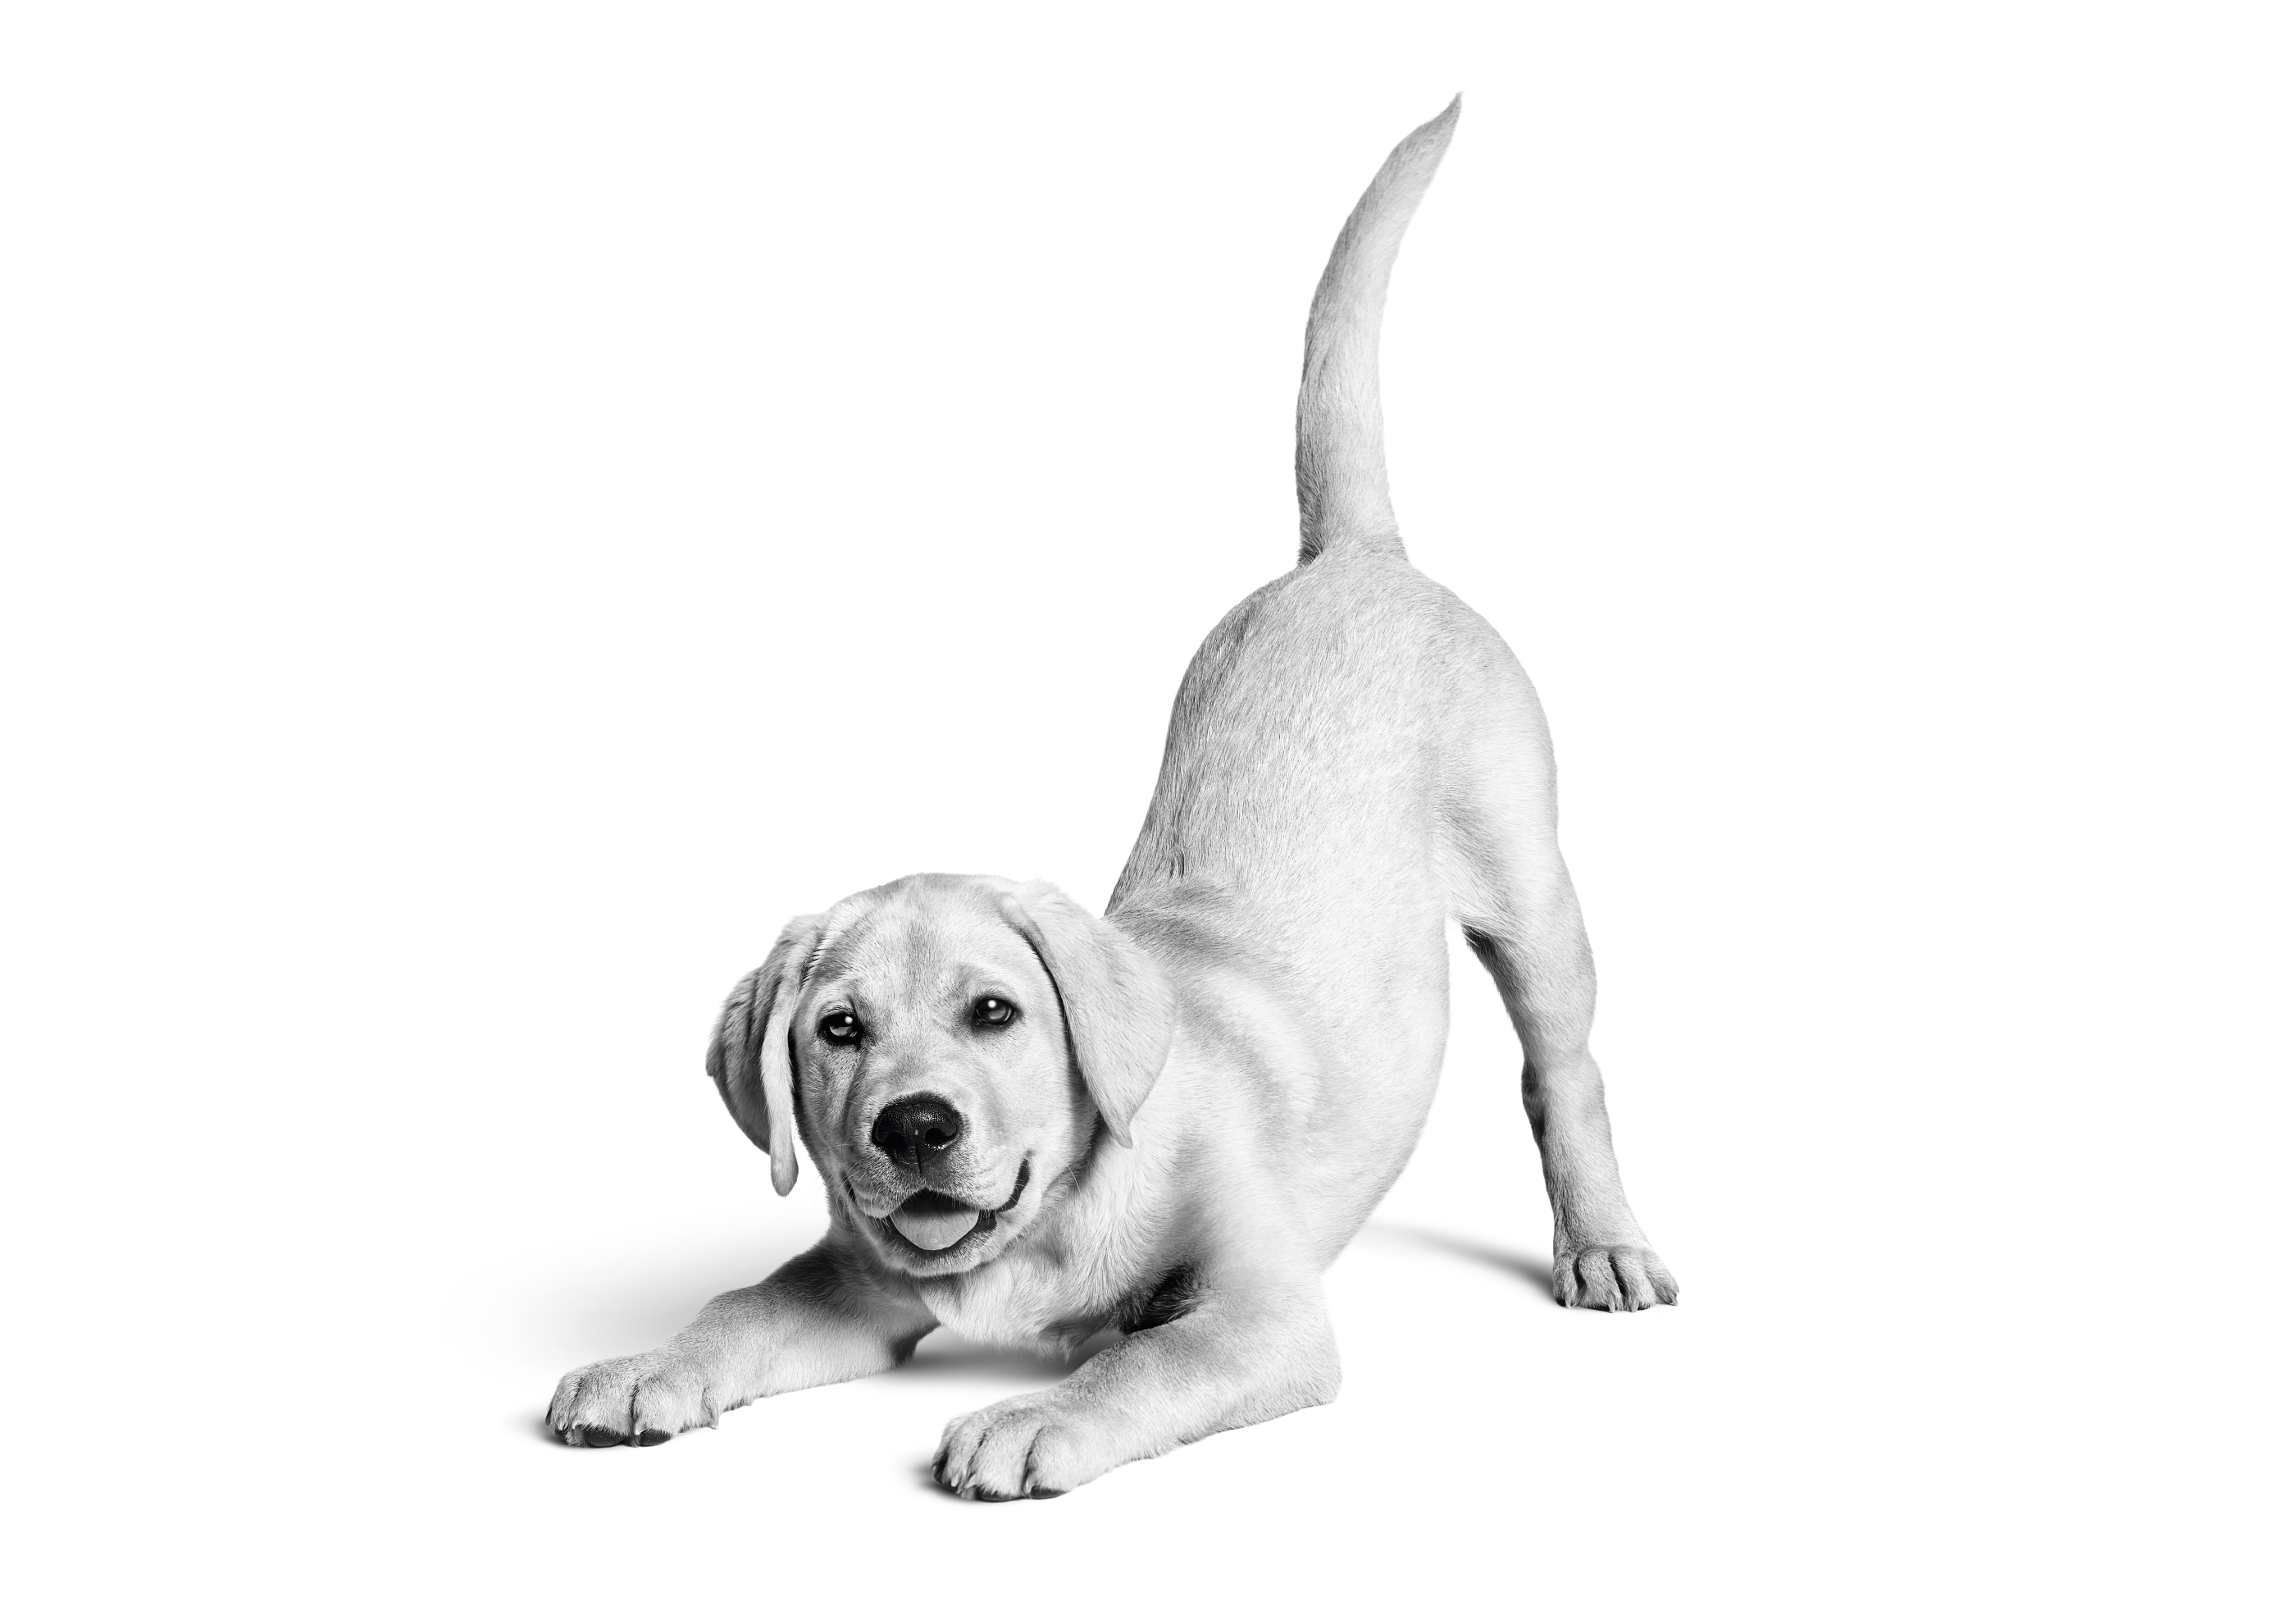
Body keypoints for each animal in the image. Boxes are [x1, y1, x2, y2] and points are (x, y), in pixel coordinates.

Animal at [546, 98, 1680, 1497]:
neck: (1045, 1221)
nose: (914, 1129)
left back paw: (1605, 1243)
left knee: (1563, 1069)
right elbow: (741, 1306)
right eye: (838, 1030)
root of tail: (1354, 557)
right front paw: (643, 1364)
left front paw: (1031, 1418)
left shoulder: (1263, 1314)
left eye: (996, 1012)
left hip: (1531, 885)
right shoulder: (852, 1285)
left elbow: (1149, 1358)